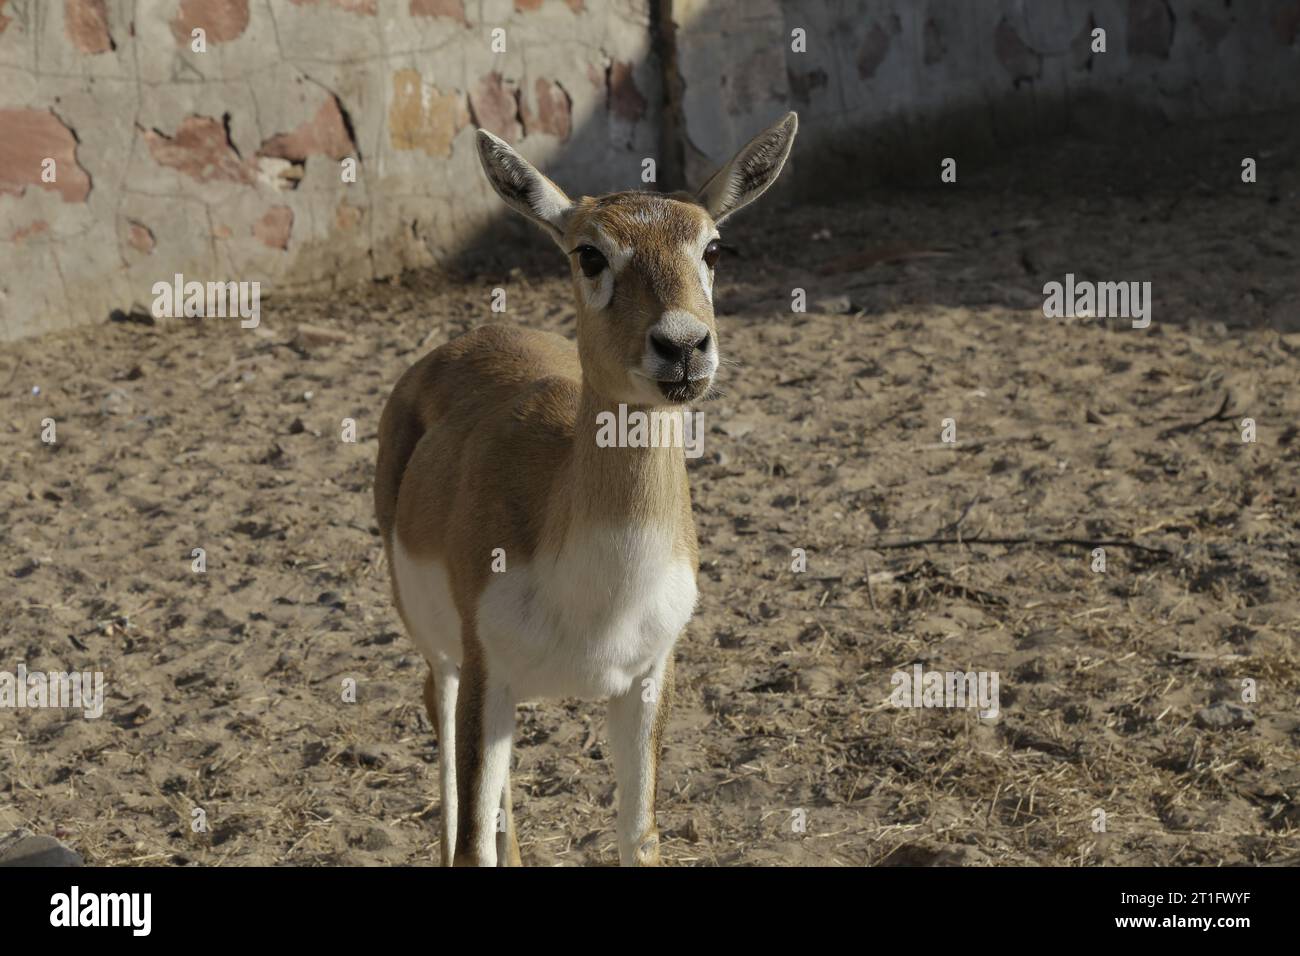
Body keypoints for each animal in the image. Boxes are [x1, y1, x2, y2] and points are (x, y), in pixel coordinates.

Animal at [374, 112, 798, 866]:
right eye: (591, 255)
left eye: (713, 248)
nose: (683, 346)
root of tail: (460, 344)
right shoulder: (488, 671)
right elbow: (473, 844)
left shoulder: (646, 679)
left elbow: (640, 836)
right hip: (446, 656)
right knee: (439, 714)